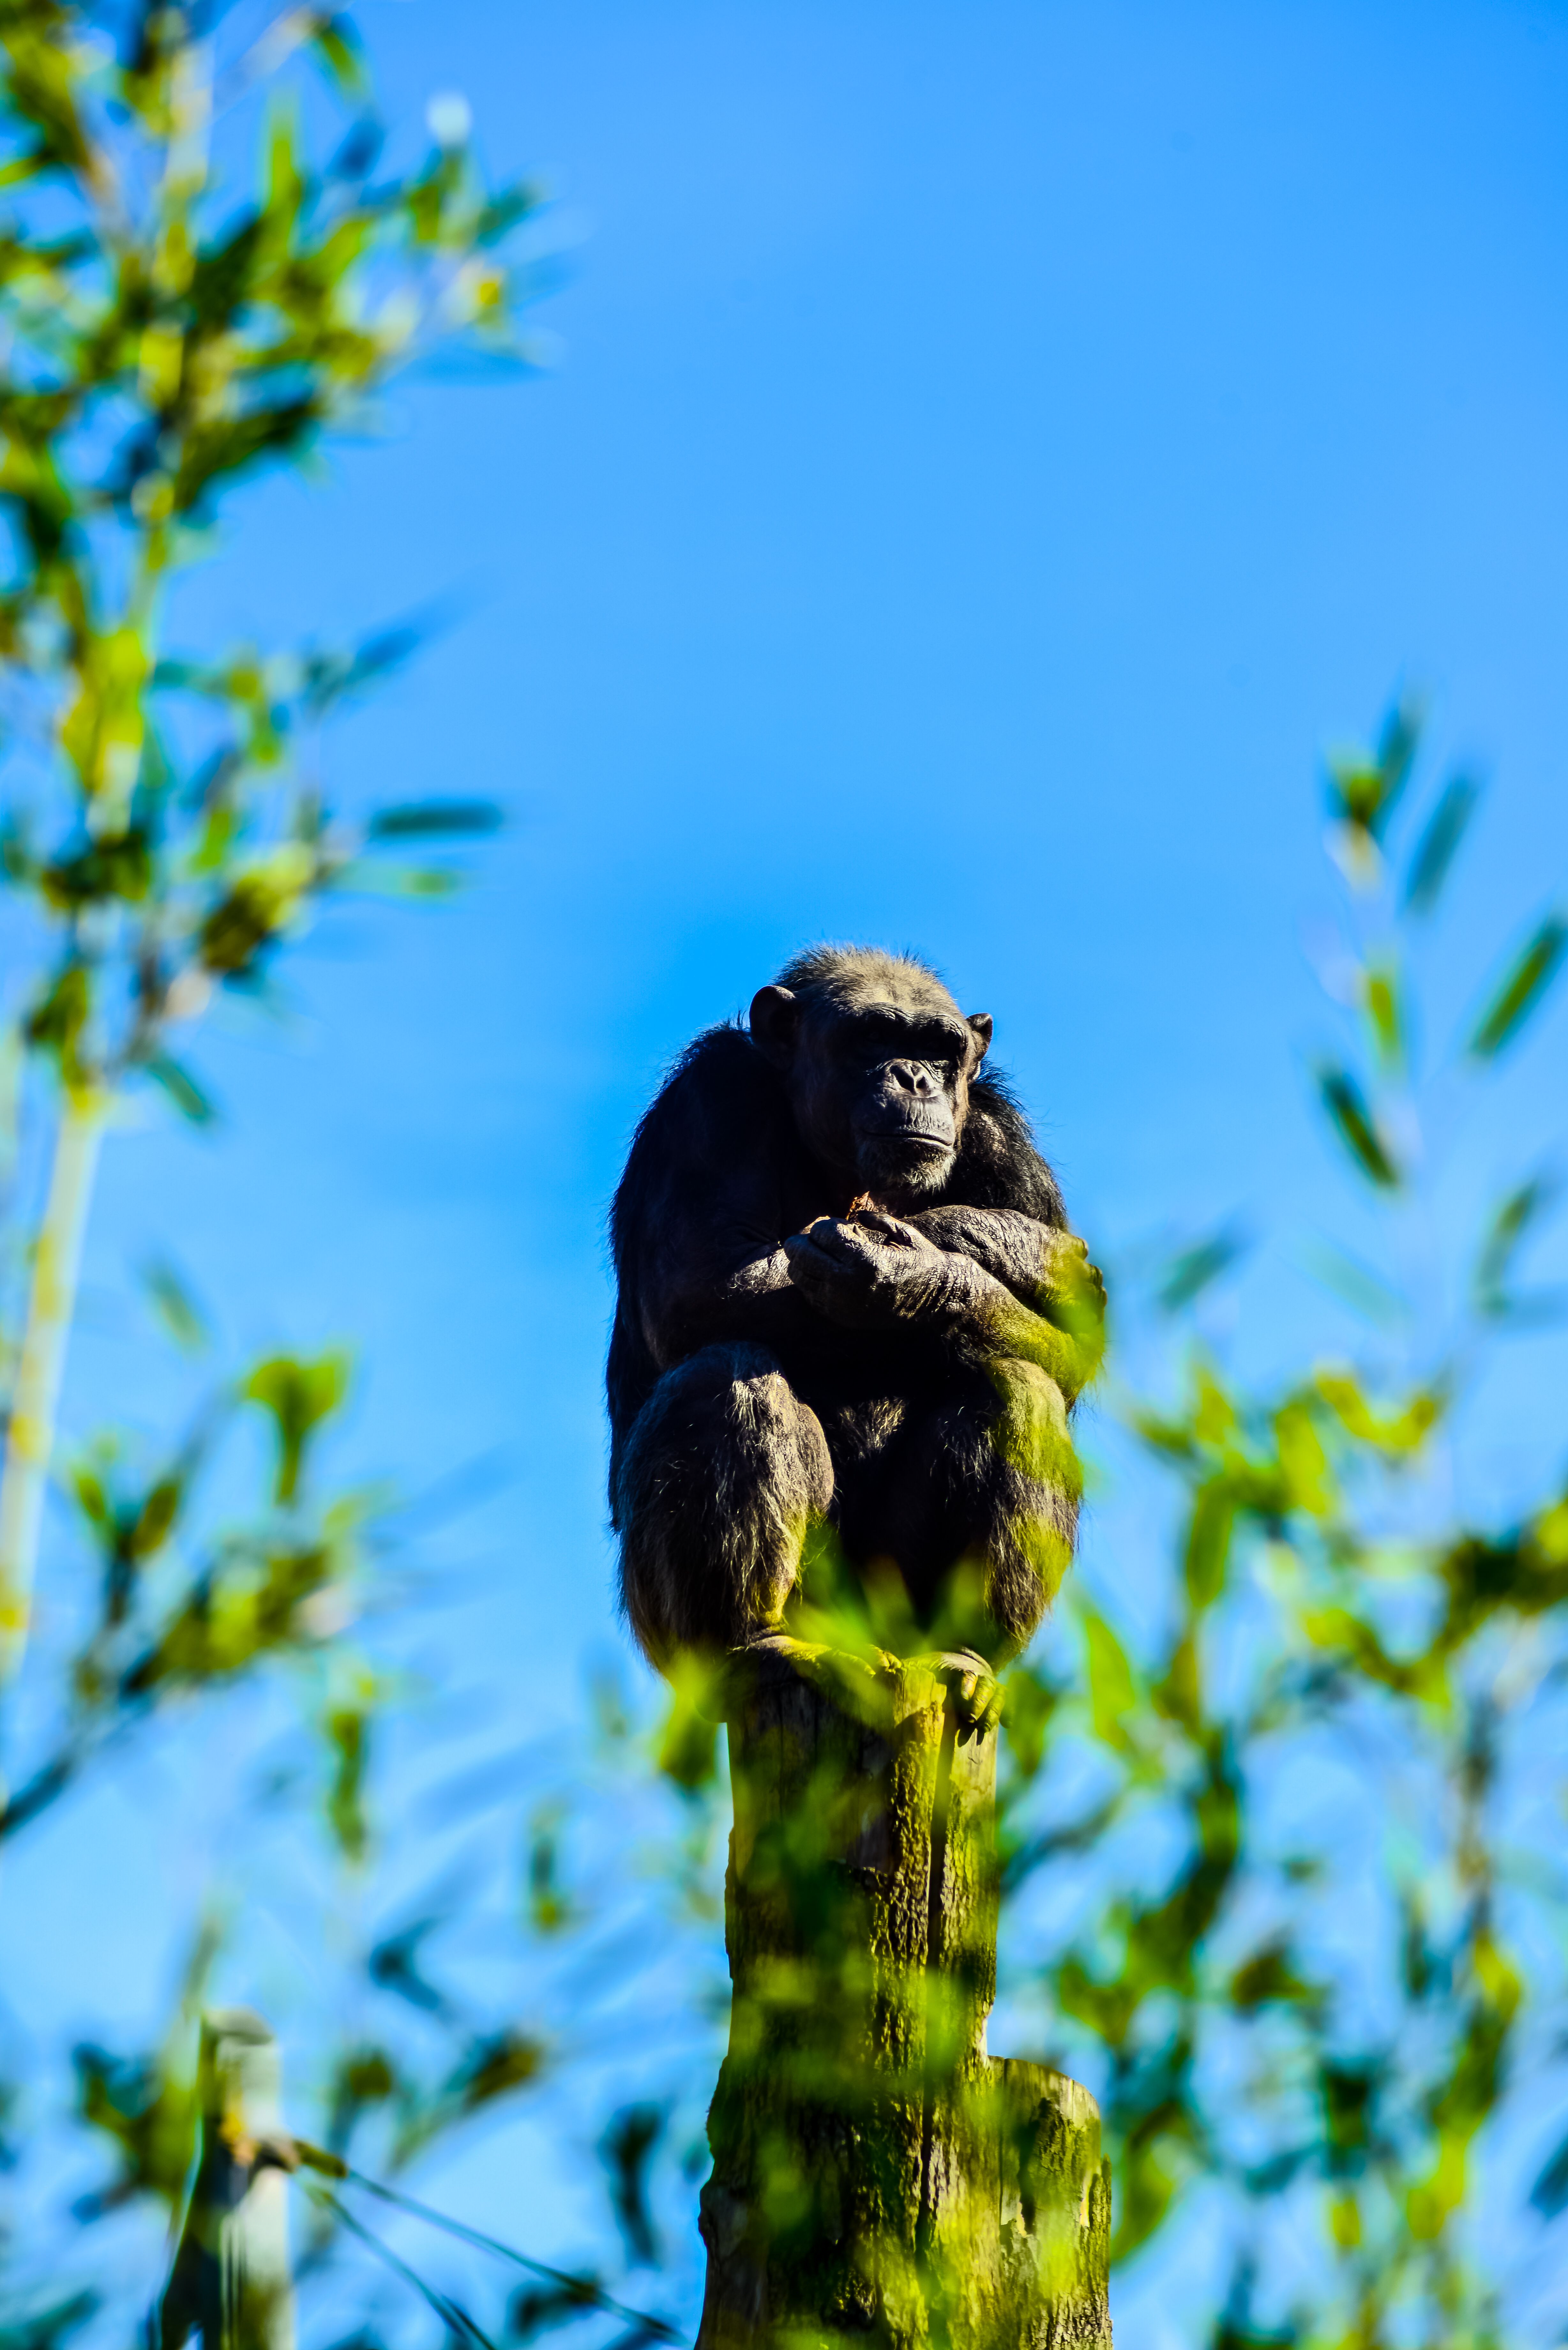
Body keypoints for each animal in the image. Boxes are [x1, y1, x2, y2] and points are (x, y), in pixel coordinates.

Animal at [606, 946, 1103, 1674]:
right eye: (871, 1037)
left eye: (938, 1049)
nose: (914, 1078)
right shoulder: (706, 1099)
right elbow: (700, 1283)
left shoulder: (1003, 1138)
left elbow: (1072, 1343)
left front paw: (933, 1266)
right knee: (725, 1370)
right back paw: (751, 1640)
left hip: (886, 1598)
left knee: (1021, 1387)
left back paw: (962, 1650)